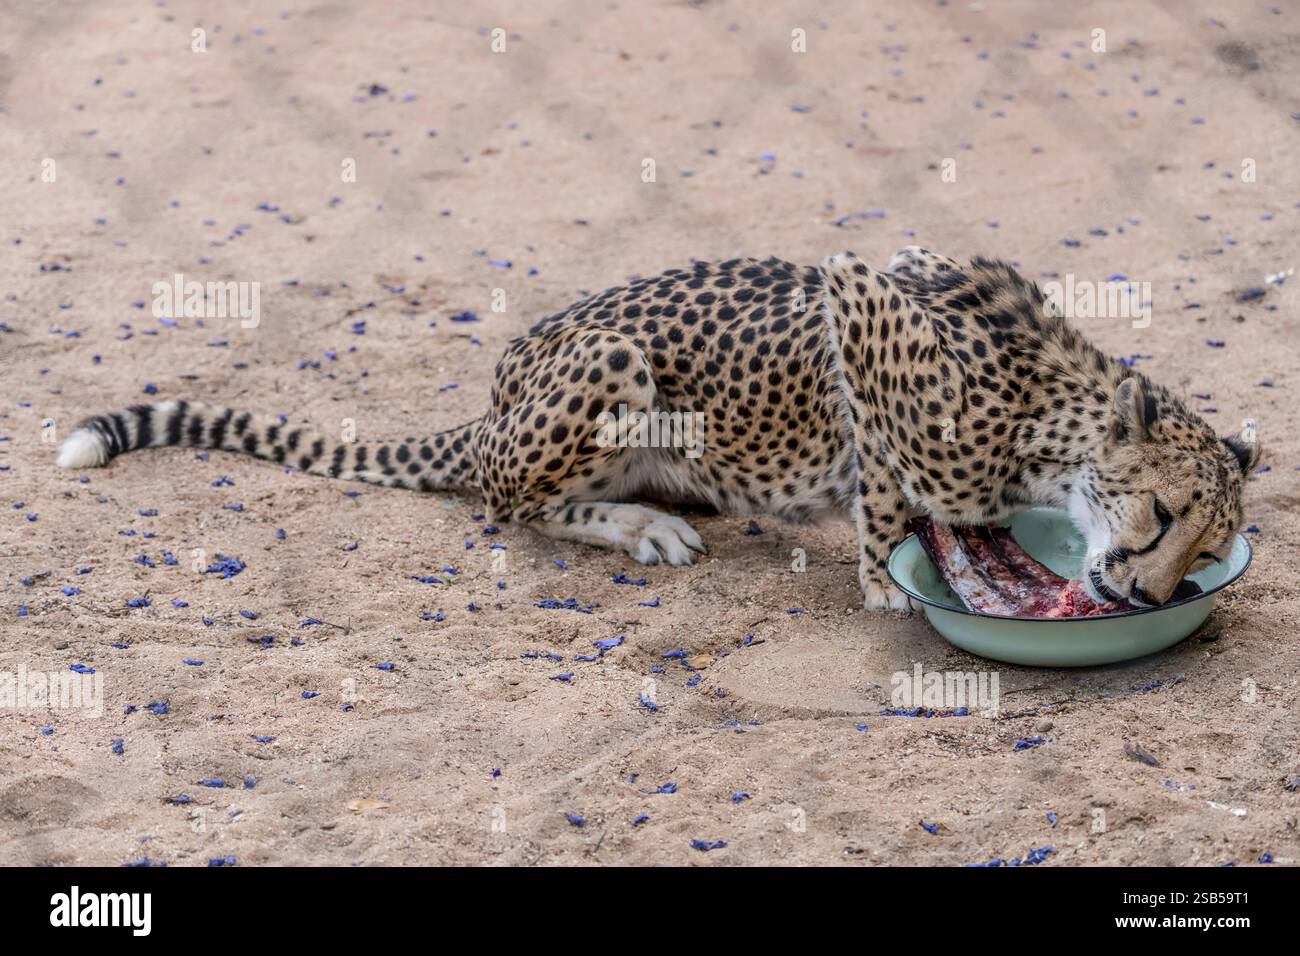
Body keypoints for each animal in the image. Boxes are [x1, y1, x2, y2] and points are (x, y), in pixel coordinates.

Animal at [57, 247, 1261, 610]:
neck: (1050, 425)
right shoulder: (860, 296)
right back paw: (642, 526)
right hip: (613, 361)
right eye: (1159, 515)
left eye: (1207, 548)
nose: (1144, 594)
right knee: (512, 503)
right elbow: (883, 493)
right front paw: (888, 583)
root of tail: (491, 403)